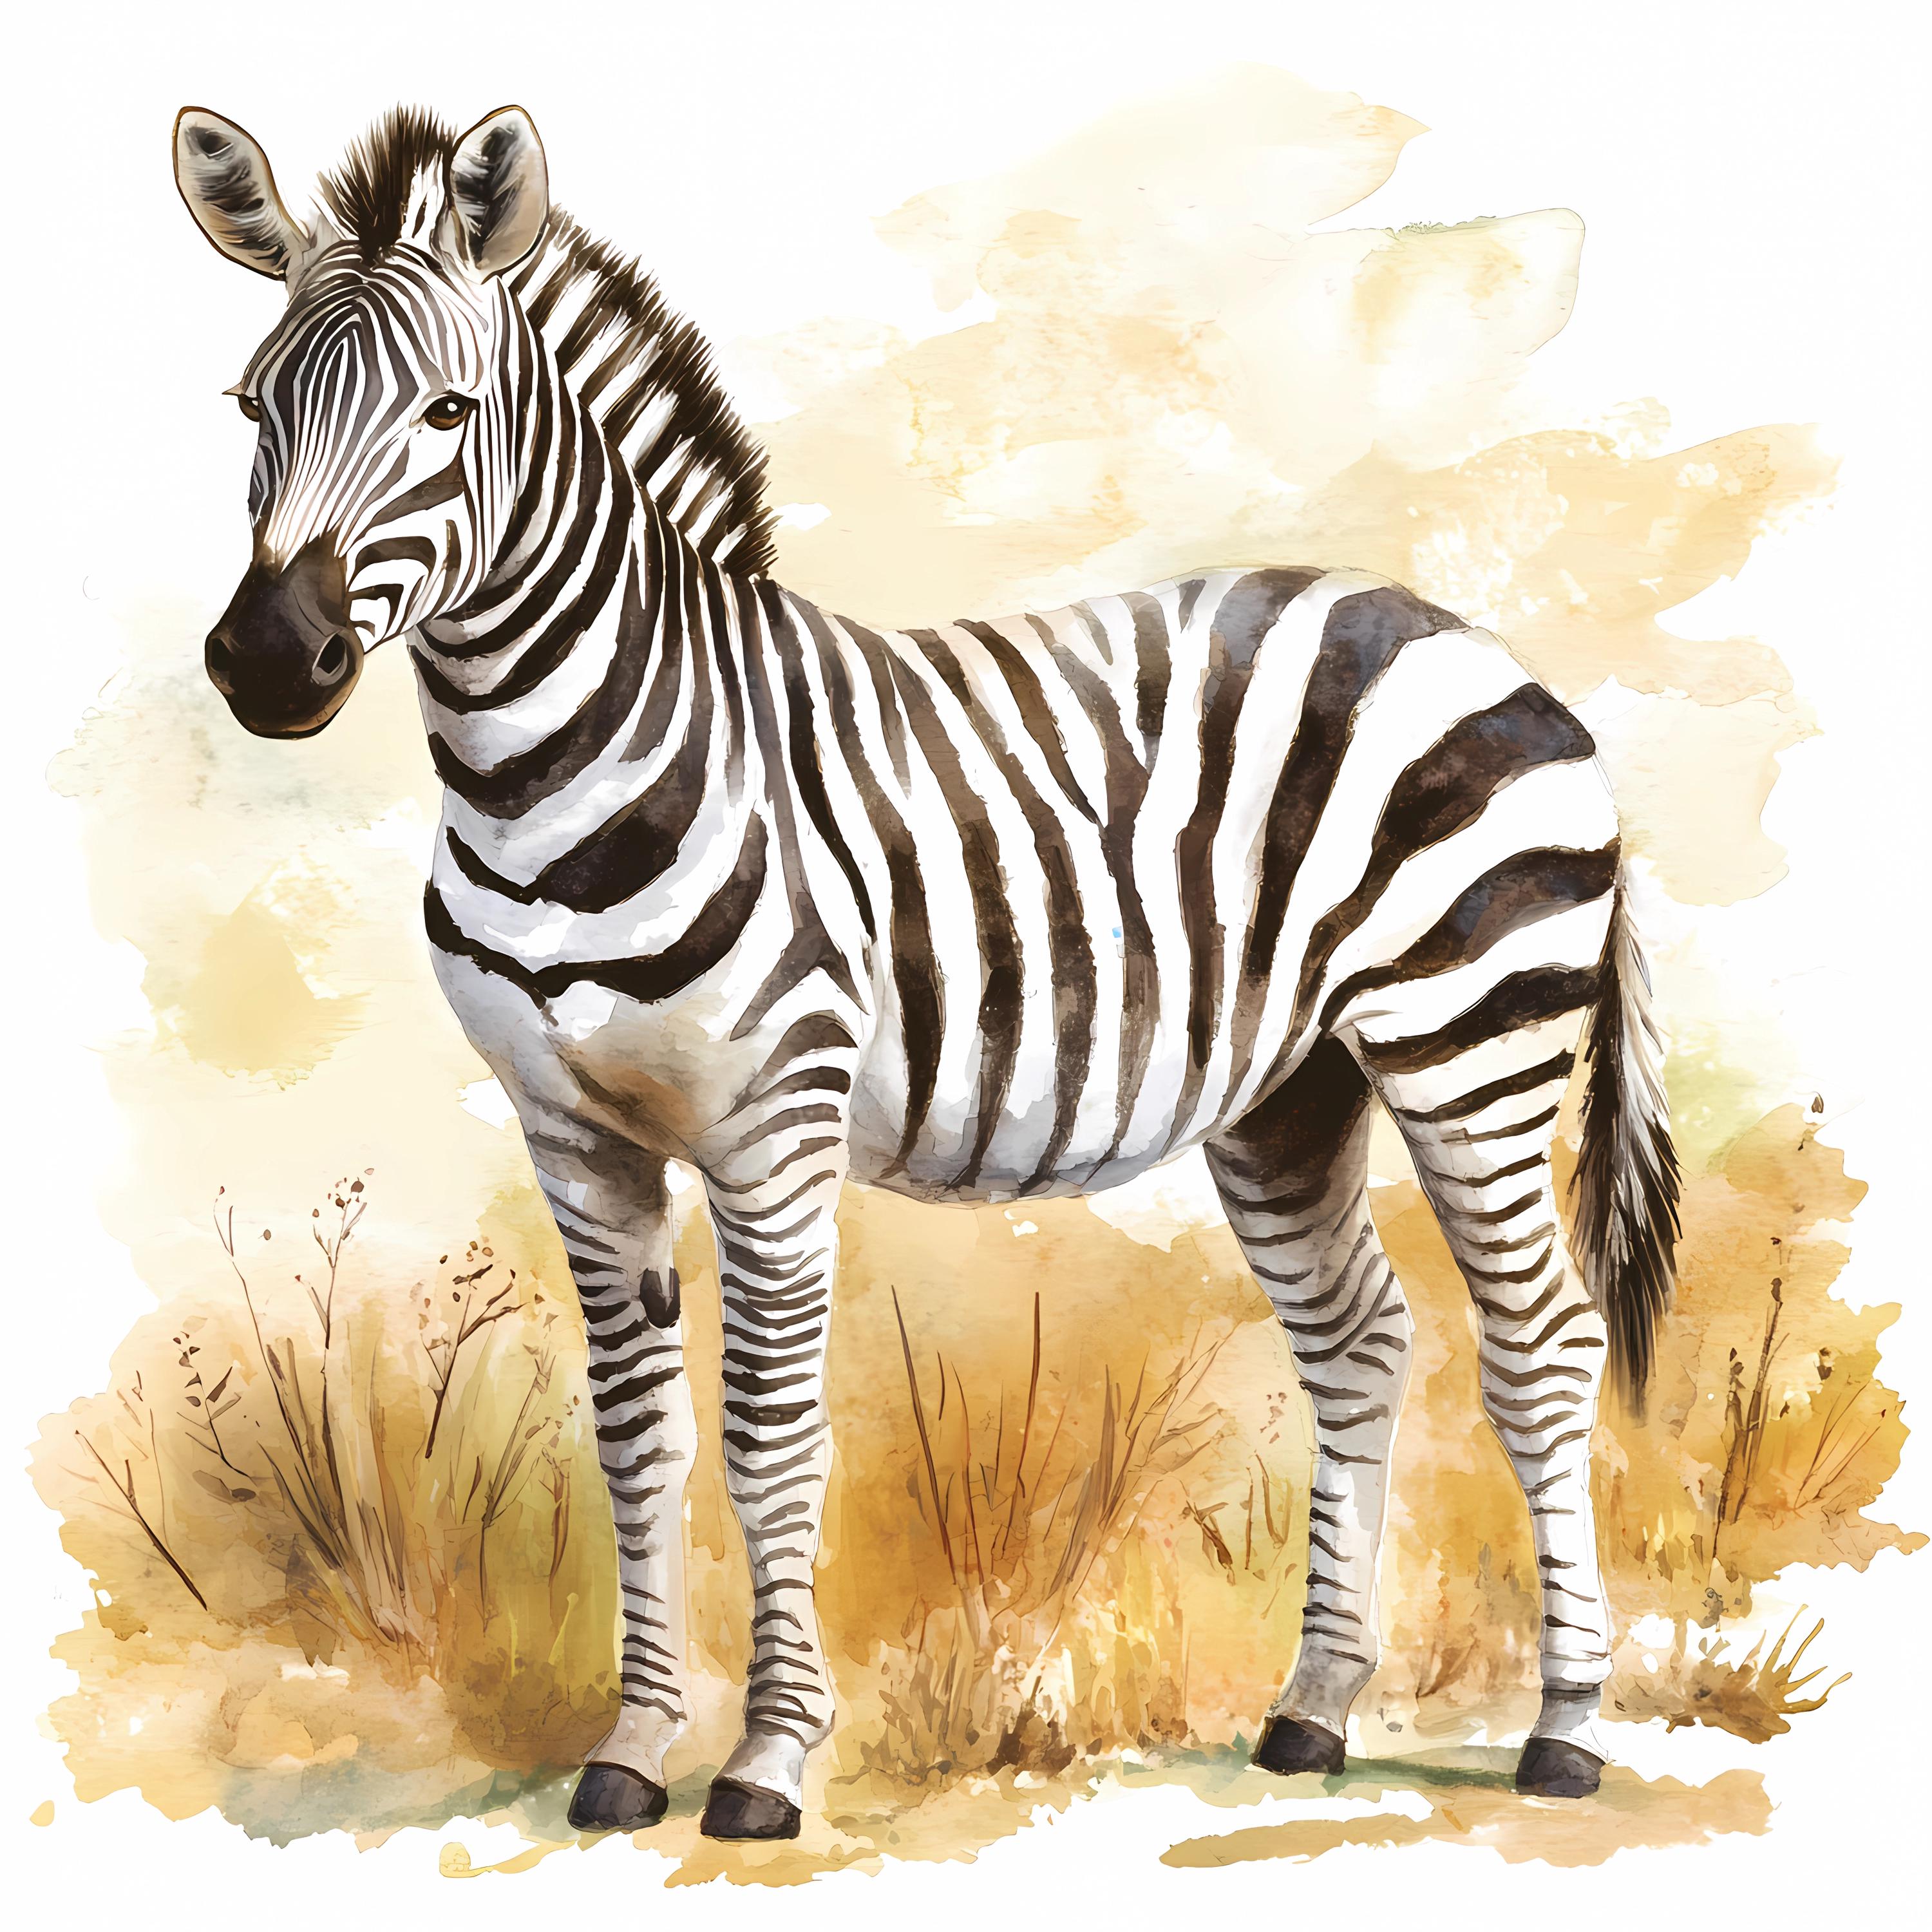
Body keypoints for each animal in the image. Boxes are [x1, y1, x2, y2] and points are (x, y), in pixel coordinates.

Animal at [173, 101, 1679, 1841]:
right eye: (251, 405)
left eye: (448, 410)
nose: (265, 662)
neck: (552, 769)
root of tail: (1473, 641)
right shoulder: (576, 1134)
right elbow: (632, 1435)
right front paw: (628, 1752)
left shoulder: (776, 1120)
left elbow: (768, 1437)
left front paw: (764, 1764)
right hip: (1289, 1088)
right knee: (1360, 1340)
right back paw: (1310, 1714)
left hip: (1467, 1038)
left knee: (1542, 1346)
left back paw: (1564, 1732)